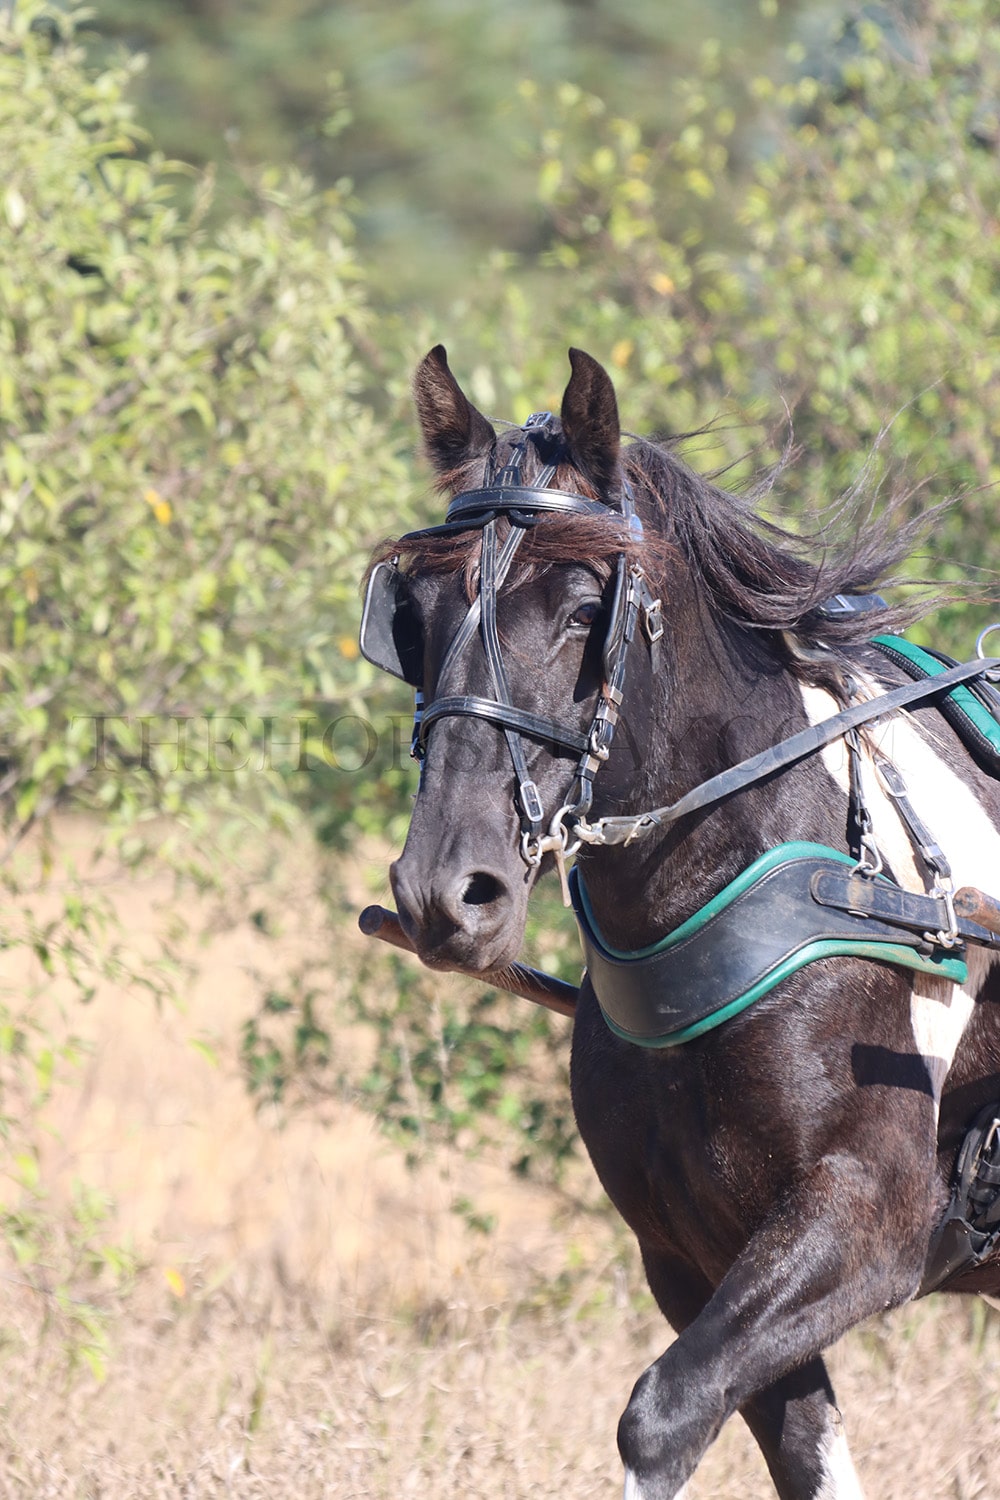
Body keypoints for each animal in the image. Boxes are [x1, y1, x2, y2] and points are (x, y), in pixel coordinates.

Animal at [362, 345, 1000, 1498]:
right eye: (414, 613)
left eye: (583, 606)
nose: (447, 889)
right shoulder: (689, 1256)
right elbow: (790, 1447)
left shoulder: (865, 1215)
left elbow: (660, 1413)